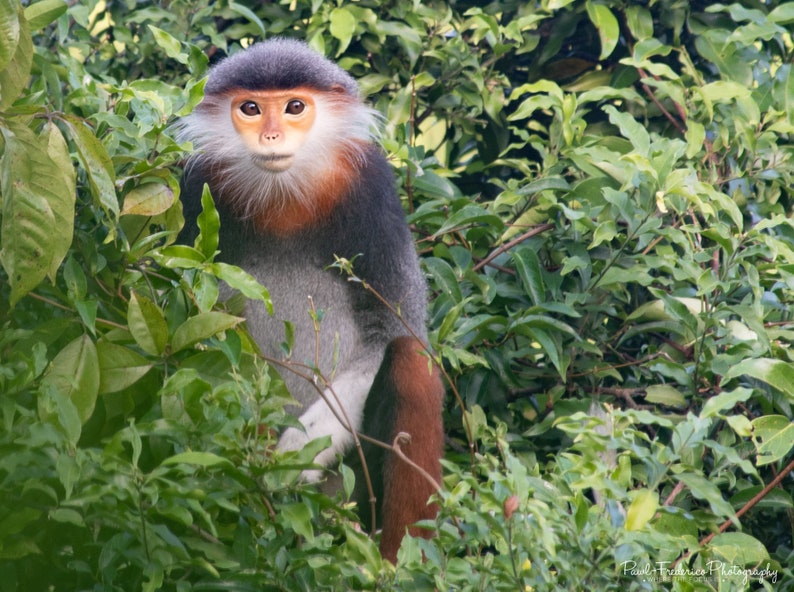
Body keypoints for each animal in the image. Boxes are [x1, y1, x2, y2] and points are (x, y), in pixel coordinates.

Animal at [177, 38, 444, 562]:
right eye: (251, 108)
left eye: (295, 107)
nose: (272, 135)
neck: (285, 192)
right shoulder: (197, 188)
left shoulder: (372, 188)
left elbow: (390, 332)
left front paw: (286, 463)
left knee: (410, 358)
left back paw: (402, 564)